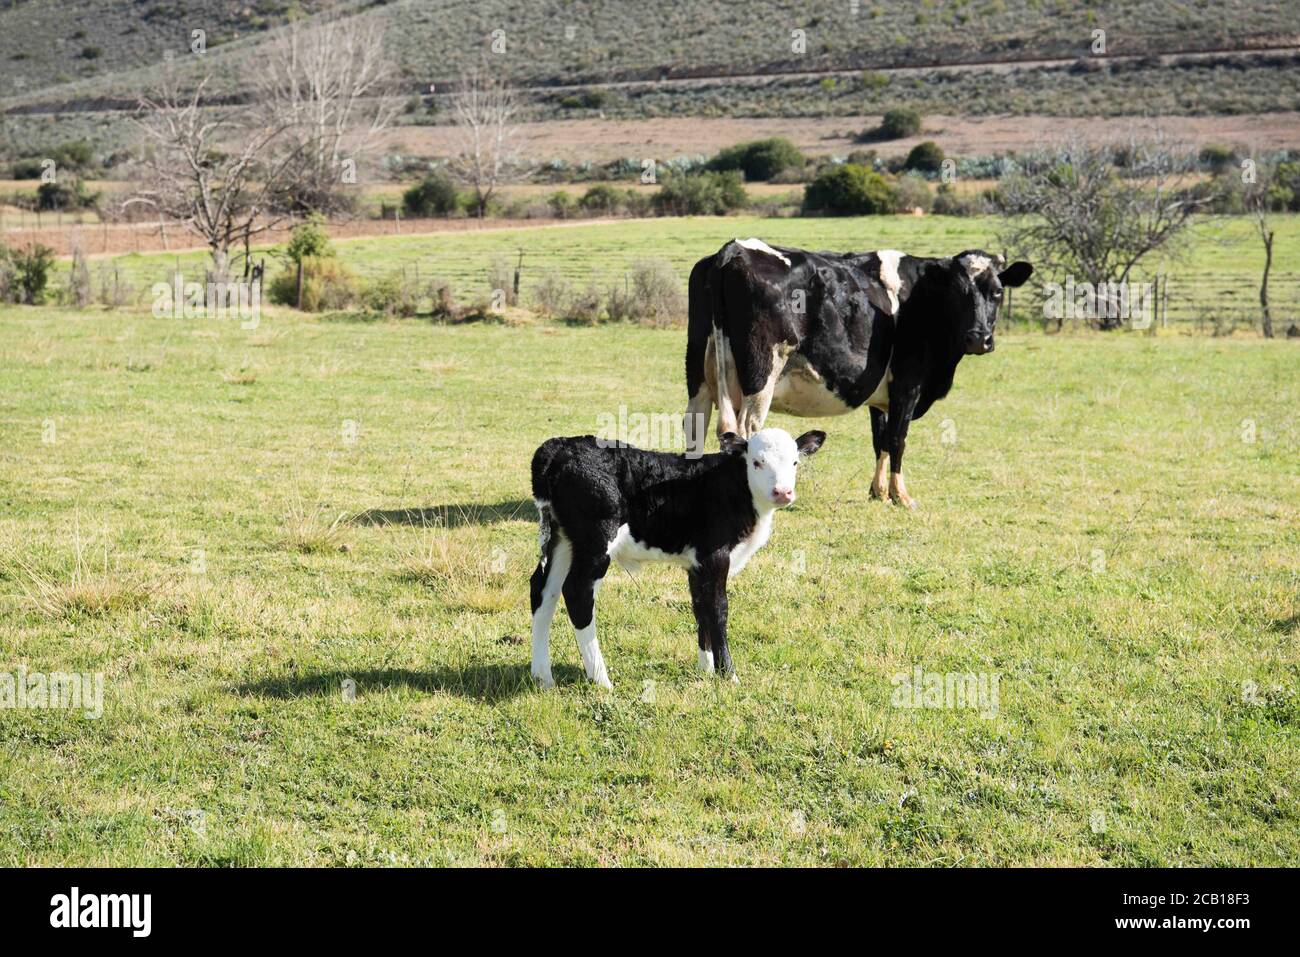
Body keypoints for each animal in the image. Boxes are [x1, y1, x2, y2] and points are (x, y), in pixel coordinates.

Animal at [529, 427, 826, 688]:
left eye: (795, 462)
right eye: (757, 462)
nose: (783, 492)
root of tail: (562, 445)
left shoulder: (697, 564)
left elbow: (700, 605)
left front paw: (706, 668)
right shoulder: (715, 555)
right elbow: (718, 608)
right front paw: (728, 674)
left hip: (562, 540)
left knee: (543, 591)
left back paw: (542, 677)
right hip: (596, 542)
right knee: (576, 593)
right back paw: (601, 680)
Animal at [683, 239, 1032, 508]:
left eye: (997, 292)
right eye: (958, 293)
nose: (978, 339)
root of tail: (734, 249)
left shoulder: (882, 395)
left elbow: (881, 441)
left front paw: (879, 492)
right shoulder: (908, 385)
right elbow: (898, 439)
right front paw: (902, 496)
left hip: (698, 374)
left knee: (695, 426)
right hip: (761, 377)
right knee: (746, 430)